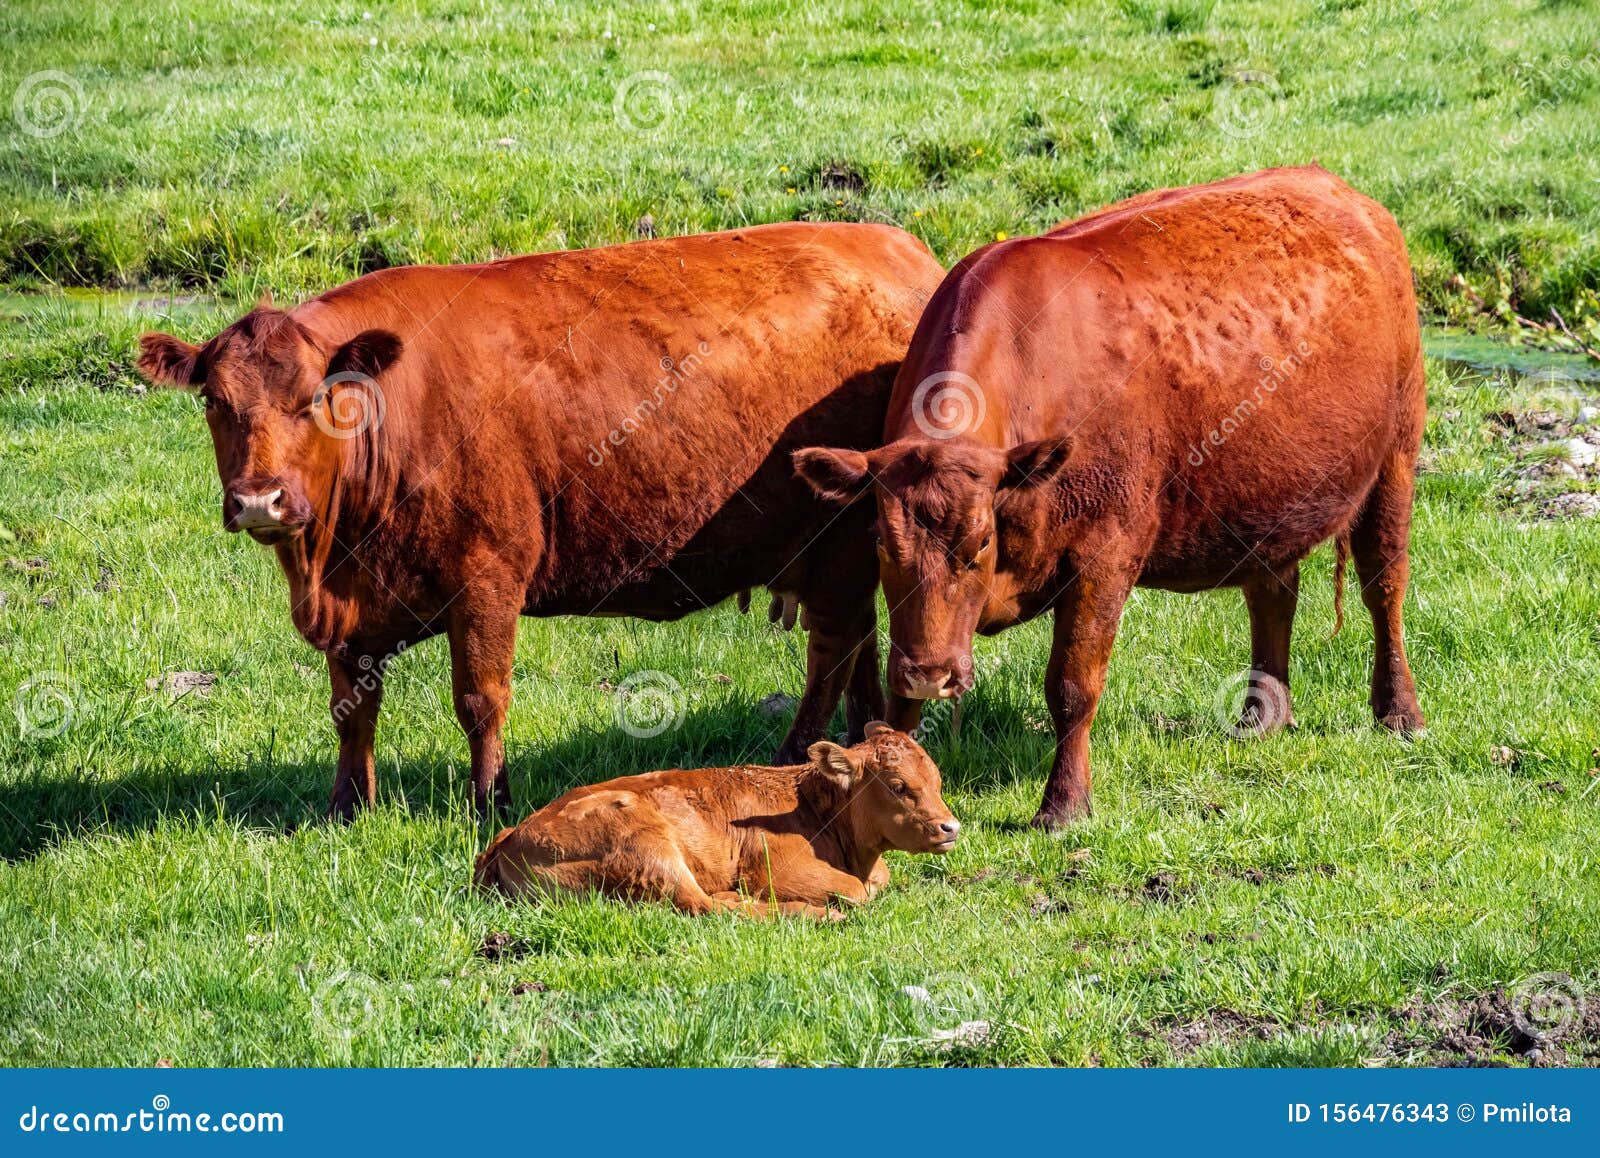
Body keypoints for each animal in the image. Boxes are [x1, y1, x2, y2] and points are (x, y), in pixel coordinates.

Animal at [135, 223, 945, 820]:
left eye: (314, 399)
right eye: (215, 402)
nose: (258, 500)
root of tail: (900, 249)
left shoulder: (488, 576)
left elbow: (480, 699)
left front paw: (490, 802)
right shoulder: (350, 603)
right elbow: (351, 706)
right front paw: (347, 806)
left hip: (838, 542)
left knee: (832, 649)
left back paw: (789, 757)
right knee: (858, 643)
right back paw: (860, 743)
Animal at [473, 722, 958, 918]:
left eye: (937, 779)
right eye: (898, 785)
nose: (950, 828)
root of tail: (512, 835)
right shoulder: (774, 869)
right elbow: (857, 890)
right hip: (646, 848)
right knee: (705, 906)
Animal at [795, 166, 1426, 828]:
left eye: (983, 541)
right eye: (880, 543)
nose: (930, 674)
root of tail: (1336, 188)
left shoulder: (1104, 556)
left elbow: (1073, 687)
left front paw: (1065, 805)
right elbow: (899, 706)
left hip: (1395, 461)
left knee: (1384, 589)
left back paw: (1399, 712)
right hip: (1265, 496)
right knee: (1273, 594)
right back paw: (1261, 717)